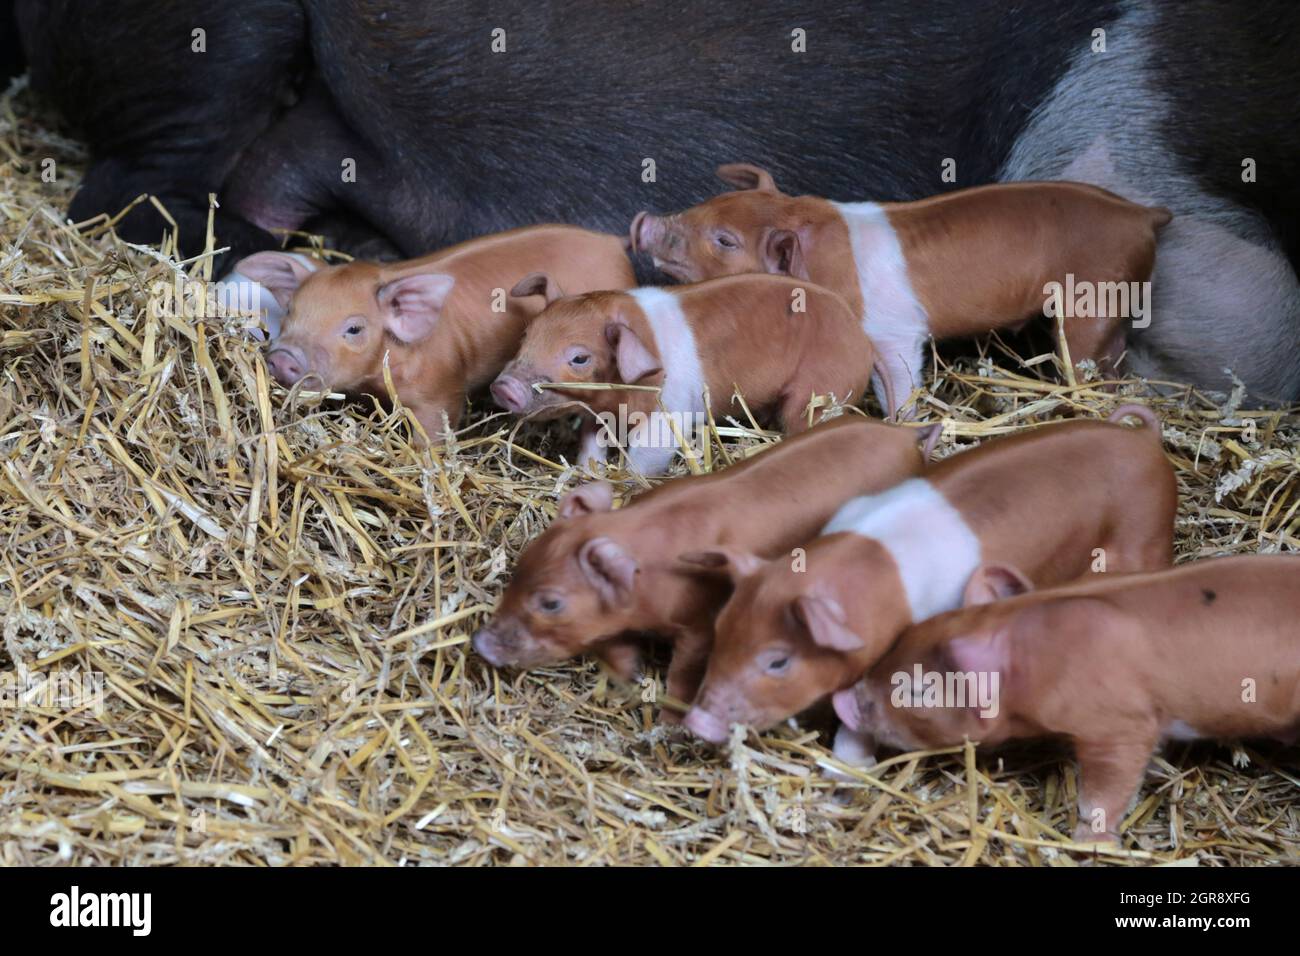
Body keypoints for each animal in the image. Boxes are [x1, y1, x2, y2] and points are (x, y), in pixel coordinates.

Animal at [472, 415, 935, 715]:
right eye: (520, 567)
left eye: (551, 603)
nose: (479, 643)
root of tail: (905, 435)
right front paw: (629, 675)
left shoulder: (699, 621)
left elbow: (684, 670)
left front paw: (666, 717)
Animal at [490, 273, 890, 475]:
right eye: (526, 335)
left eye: (579, 357)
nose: (503, 387)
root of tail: (862, 337)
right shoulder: (599, 409)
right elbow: (590, 444)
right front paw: (589, 472)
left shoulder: (671, 411)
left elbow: (648, 453)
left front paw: (627, 482)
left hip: (819, 391)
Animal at [632, 167, 1172, 413]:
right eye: (710, 201)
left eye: (725, 240)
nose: (643, 222)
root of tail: (1143, 214)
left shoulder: (896, 333)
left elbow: (900, 385)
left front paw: (901, 422)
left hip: (1092, 304)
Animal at [679, 405, 1177, 766]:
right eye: (720, 630)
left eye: (778, 661)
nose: (697, 722)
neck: (880, 577)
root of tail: (1144, 440)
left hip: (1143, 534)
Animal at [842, 554, 1300, 843]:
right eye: (897, 643)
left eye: (917, 689)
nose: (843, 701)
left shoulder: (1120, 723)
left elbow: (1104, 791)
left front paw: (1089, 843)